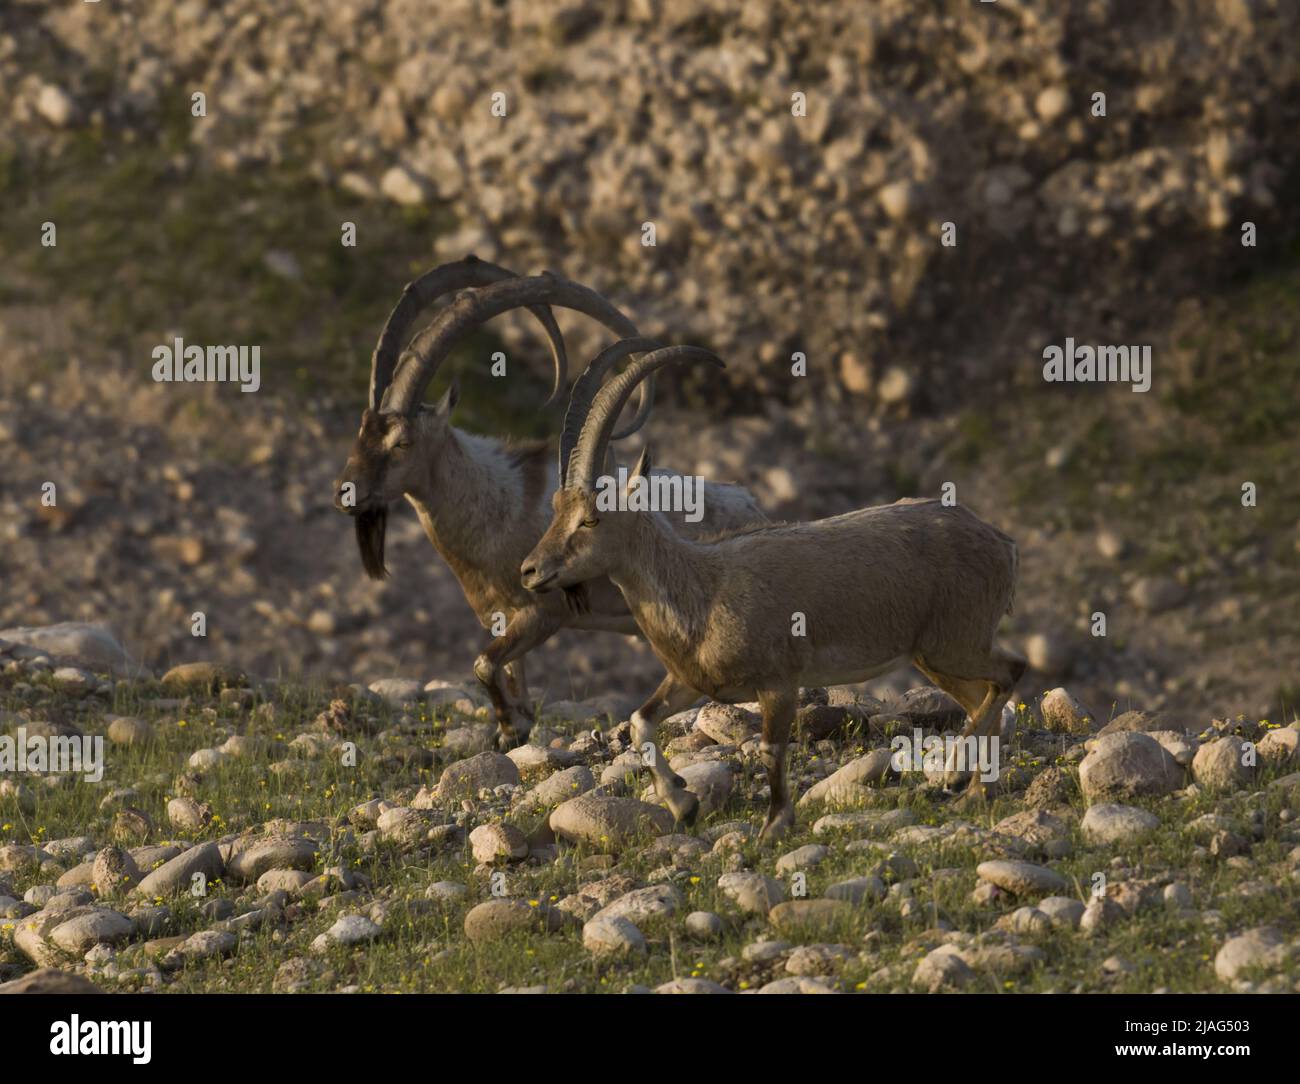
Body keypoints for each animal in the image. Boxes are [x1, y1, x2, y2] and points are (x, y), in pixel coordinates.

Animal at [333, 259, 767, 767]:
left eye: (401, 442)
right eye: (361, 429)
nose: (346, 493)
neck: (499, 502)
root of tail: (753, 504)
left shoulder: (542, 613)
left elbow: (483, 663)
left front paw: (511, 725)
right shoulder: (502, 617)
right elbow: (506, 672)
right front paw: (514, 728)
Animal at [521, 343, 1026, 840]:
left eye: (591, 519)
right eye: (555, 508)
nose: (530, 571)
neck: (702, 591)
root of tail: (1001, 541)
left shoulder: (780, 681)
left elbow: (769, 749)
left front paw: (774, 825)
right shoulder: (691, 681)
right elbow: (641, 721)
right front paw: (683, 802)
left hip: (954, 643)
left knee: (1010, 672)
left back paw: (961, 778)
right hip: (932, 656)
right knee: (985, 695)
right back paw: (974, 785)